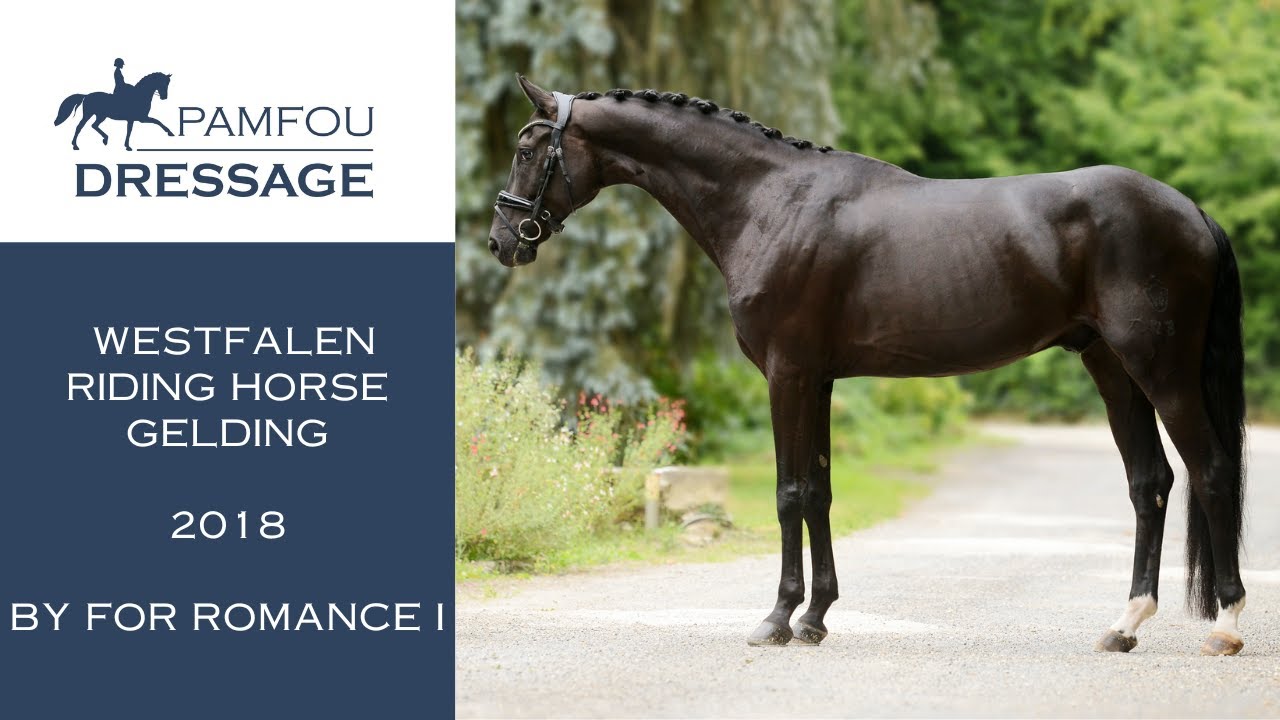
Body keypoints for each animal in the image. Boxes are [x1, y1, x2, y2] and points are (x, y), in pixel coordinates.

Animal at [488, 76, 1248, 656]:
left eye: (528, 148)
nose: (502, 241)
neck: (768, 202)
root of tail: (1192, 211)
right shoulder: (818, 379)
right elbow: (820, 492)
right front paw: (816, 618)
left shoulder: (788, 375)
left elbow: (790, 492)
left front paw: (777, 620)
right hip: (1112, 367)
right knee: (1150, 483)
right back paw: (1124, 626)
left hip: (1161, 370)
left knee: (1211, 471)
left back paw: (1228, 625)